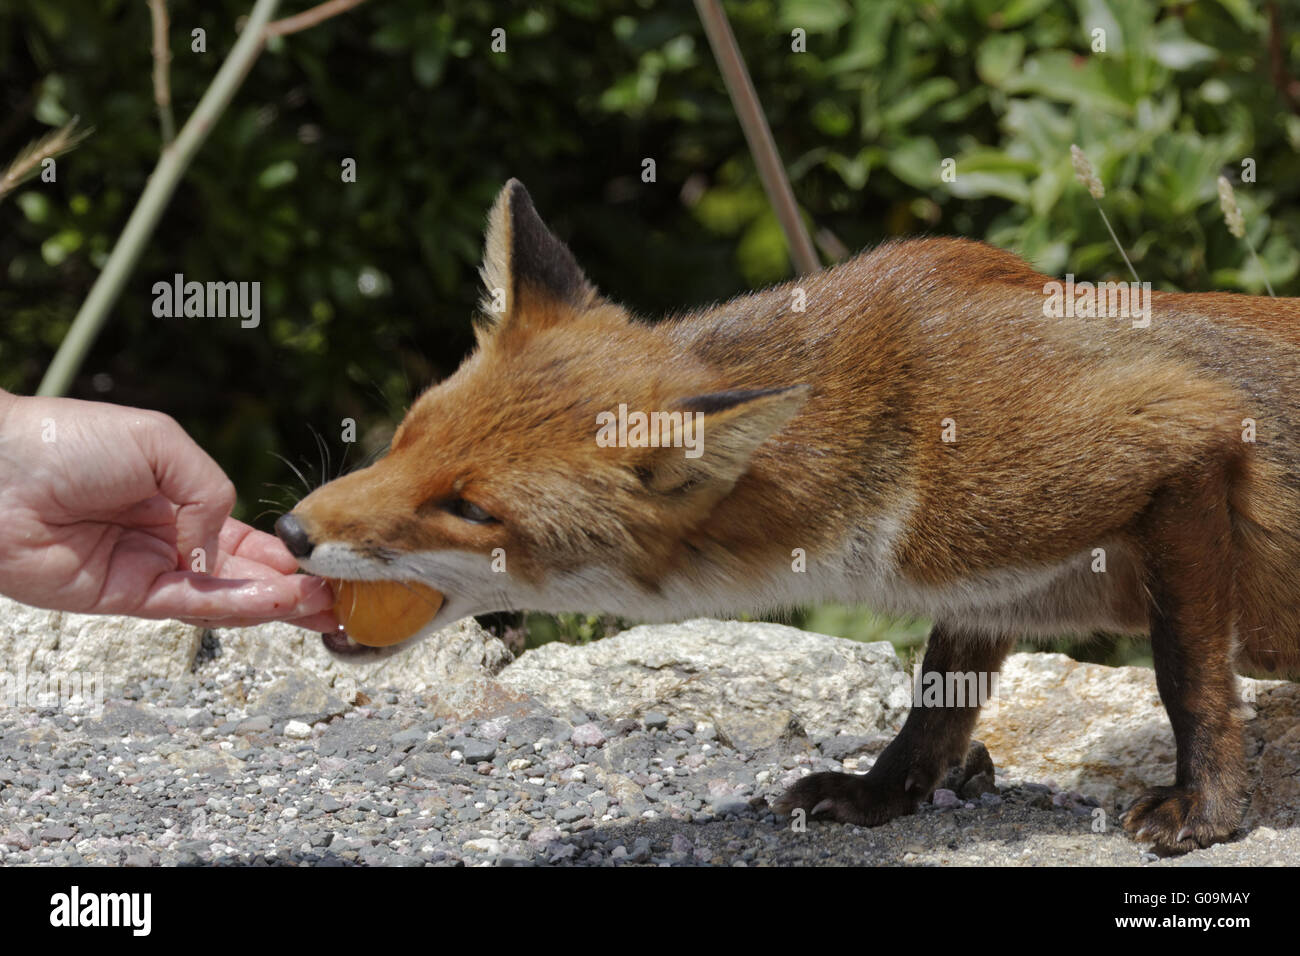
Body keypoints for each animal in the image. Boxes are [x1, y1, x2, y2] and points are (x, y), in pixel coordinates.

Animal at [277, 178, 1300, 854]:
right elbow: (936, 708)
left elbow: (1189, 681)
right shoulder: (981, 572)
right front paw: (884, 796)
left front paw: (1207, 810)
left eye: (469, 507)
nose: (290, 533)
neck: (900, 416)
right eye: (408, 435)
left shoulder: (1178, 441)